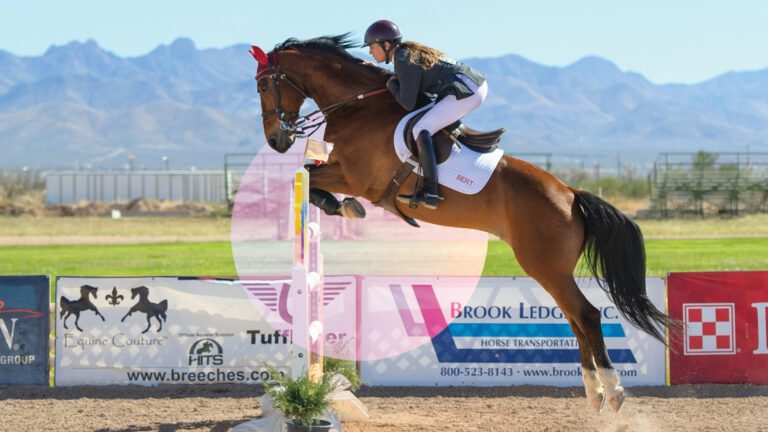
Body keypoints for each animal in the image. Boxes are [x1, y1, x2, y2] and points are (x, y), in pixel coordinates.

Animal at [251, 34, 673, 413]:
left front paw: (342, 205)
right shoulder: (344, 173)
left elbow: (311, 175)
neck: (356, 109)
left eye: (263, 85)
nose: (275, 140)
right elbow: (311, 175)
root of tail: (570, 194)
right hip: (552, 270)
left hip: (545, 266)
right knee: (573, 319)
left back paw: (614, 392)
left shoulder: (356, 177)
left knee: (585, 315)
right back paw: (594, 393)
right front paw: (342, 207)